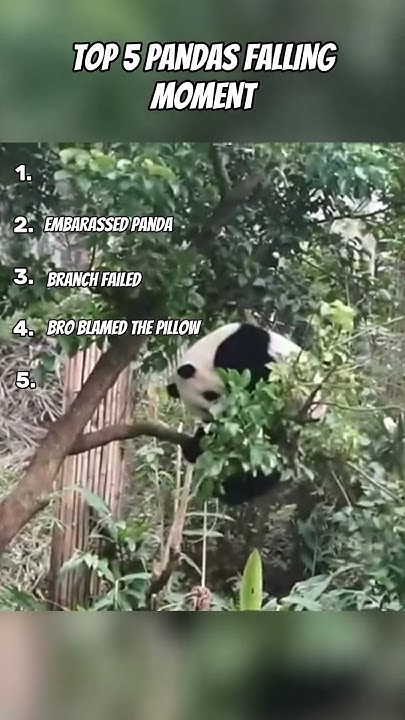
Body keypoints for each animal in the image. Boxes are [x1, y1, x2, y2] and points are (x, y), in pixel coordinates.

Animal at [166, 322, 325, 505]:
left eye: (210, 395)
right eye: (204, 413)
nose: (223, 415)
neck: (210, 350)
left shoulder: (242, 350)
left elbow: (260, 379)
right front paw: (199, 441)